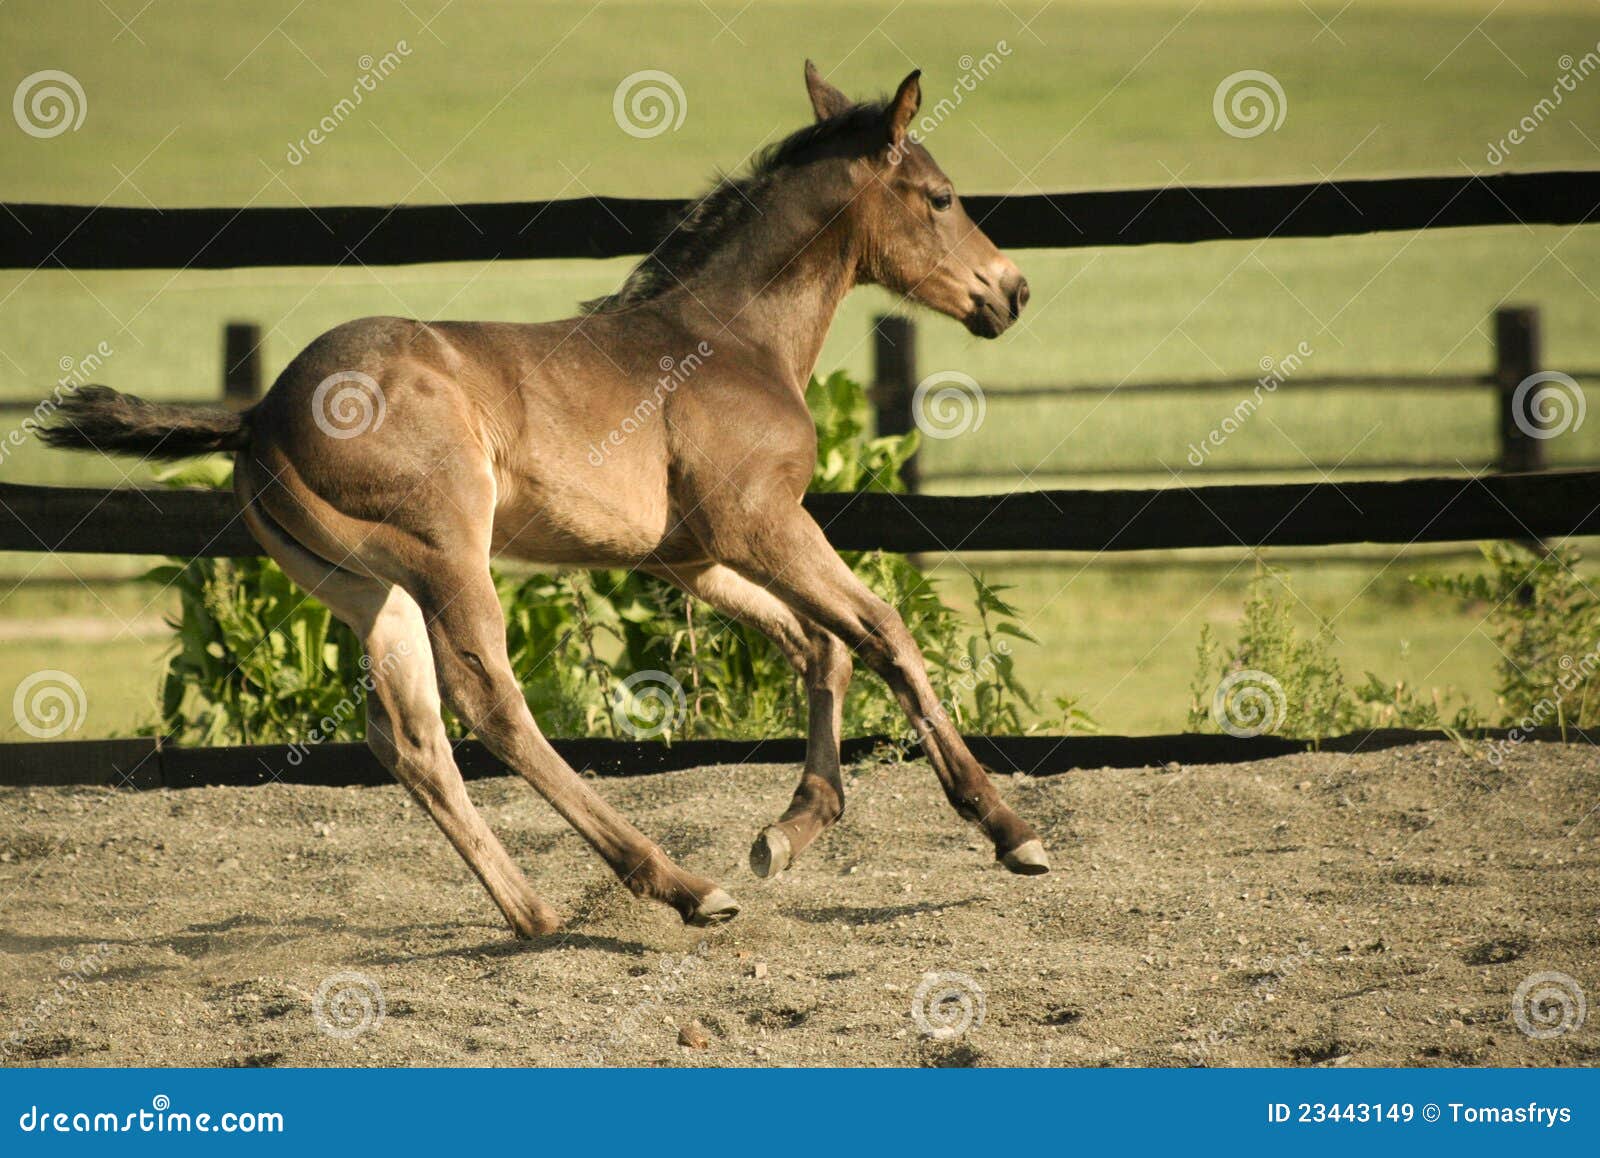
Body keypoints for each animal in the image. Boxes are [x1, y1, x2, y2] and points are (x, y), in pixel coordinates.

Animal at [41, 61, 1046, 938]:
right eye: (941, 196)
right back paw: (679, 886)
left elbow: (819, 648)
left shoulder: (690, 556)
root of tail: (258, 416)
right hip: (447, 557)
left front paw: (790, 830)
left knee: (410, 739)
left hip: (371, 592)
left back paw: (536, 916)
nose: (1013, 290)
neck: (731, 340)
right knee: (491, 706)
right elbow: (880, 633)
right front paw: (1006, 829)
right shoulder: (758, 524)